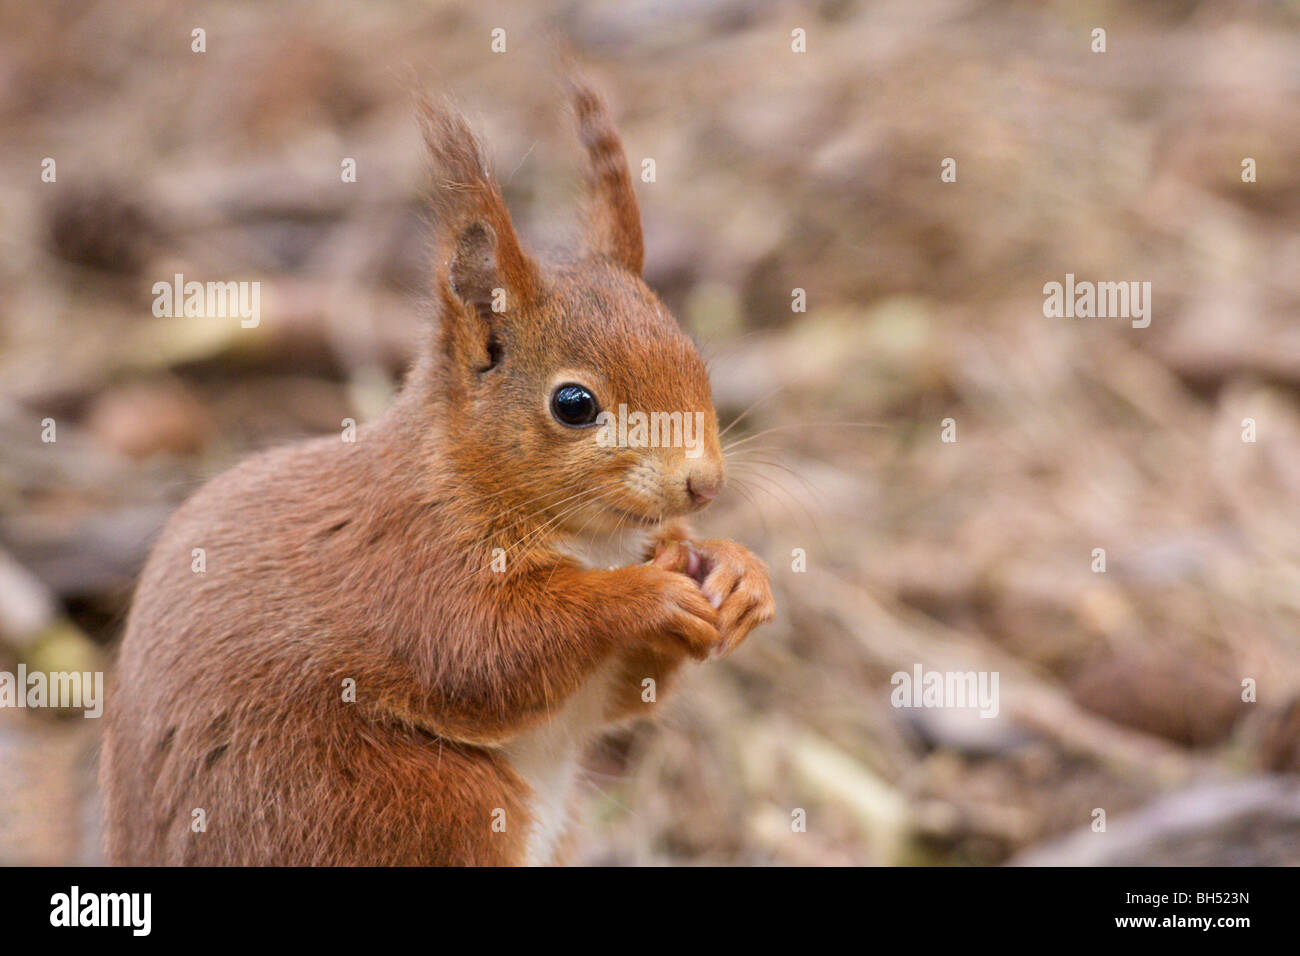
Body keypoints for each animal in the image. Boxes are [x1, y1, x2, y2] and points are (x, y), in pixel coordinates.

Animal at [100, 78, 774, 866]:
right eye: (574, 404)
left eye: (696, 358)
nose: (705, 485)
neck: (590, 539)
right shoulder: (409, 562)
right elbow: (484, 650)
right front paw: (643, 595)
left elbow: (627, 689)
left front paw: (737, 571)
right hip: (407, 802)